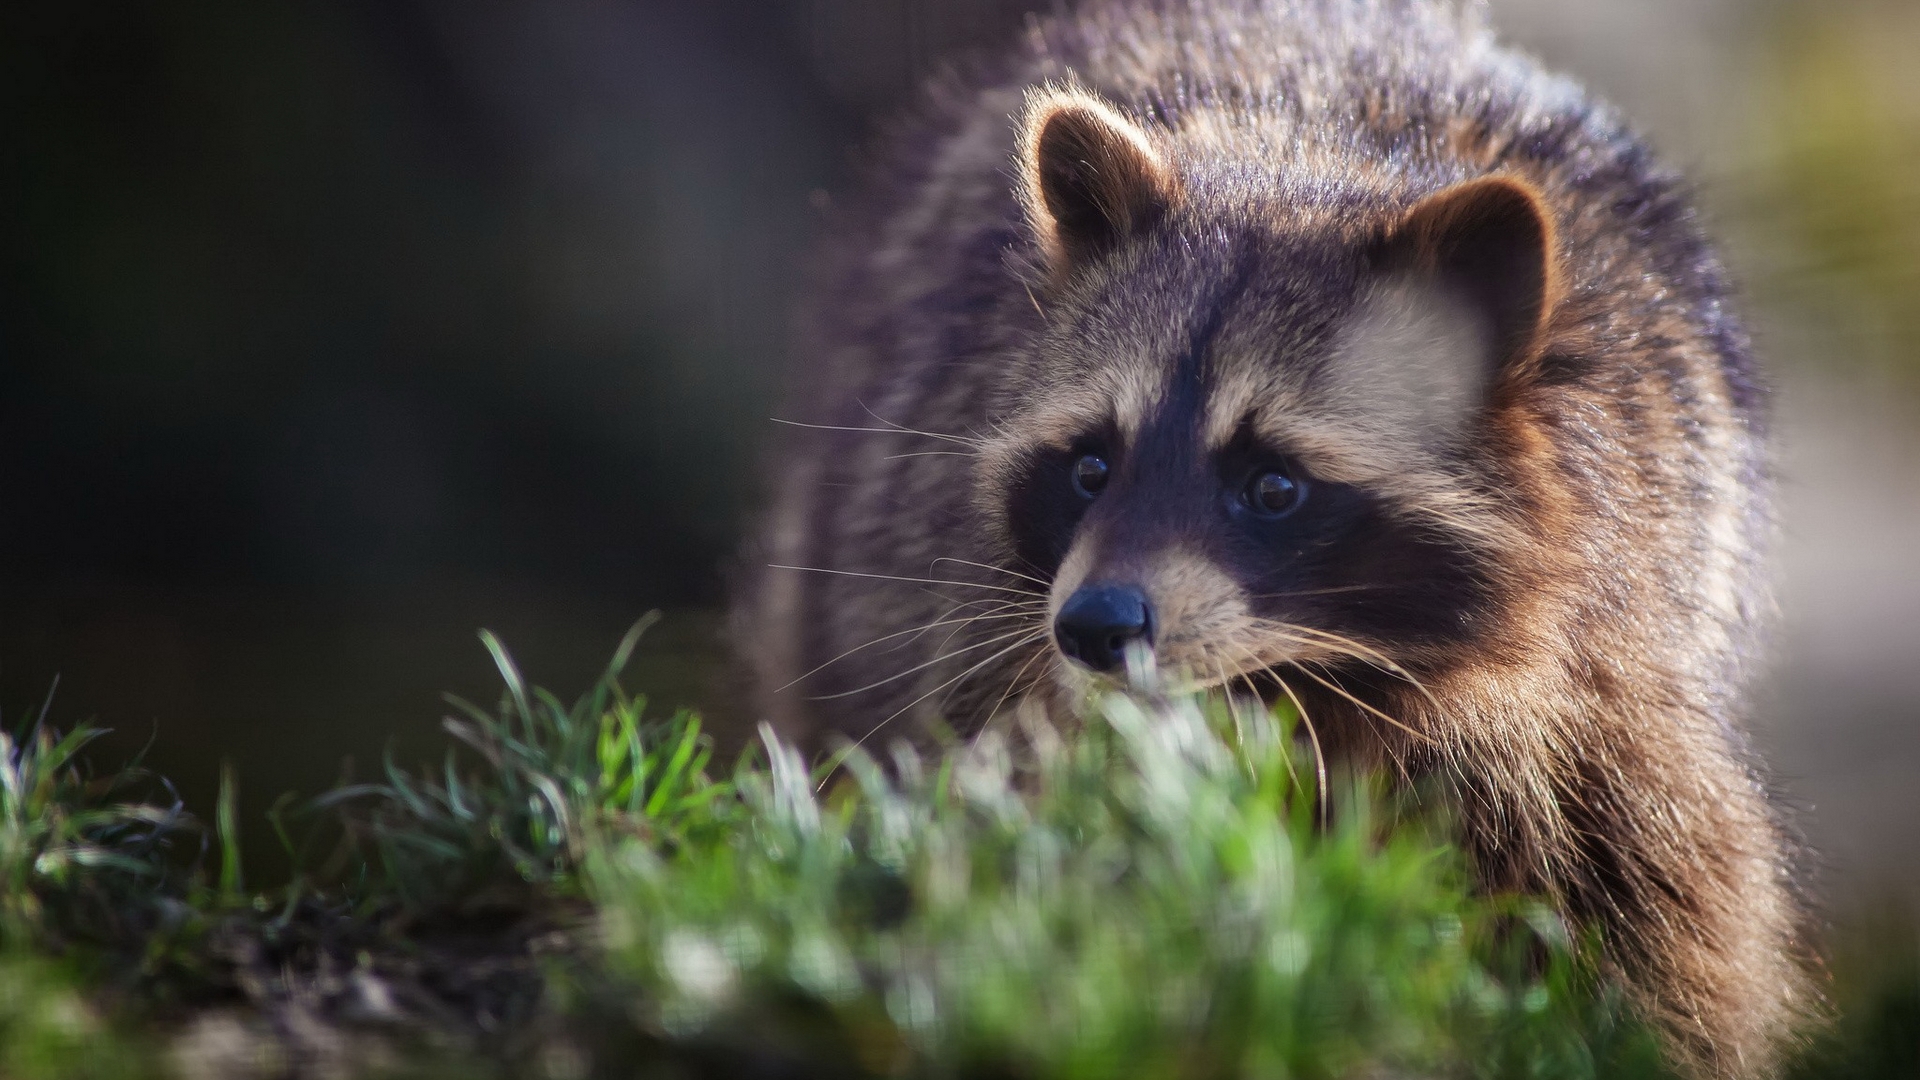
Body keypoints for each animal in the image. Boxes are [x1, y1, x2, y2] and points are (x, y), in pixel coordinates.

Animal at [732, 0, 1810, 1073]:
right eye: (1091, 468)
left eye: (1273, 486)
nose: (1093, 626)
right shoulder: (995, 657)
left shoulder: (1606, 696)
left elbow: (1653, 921)